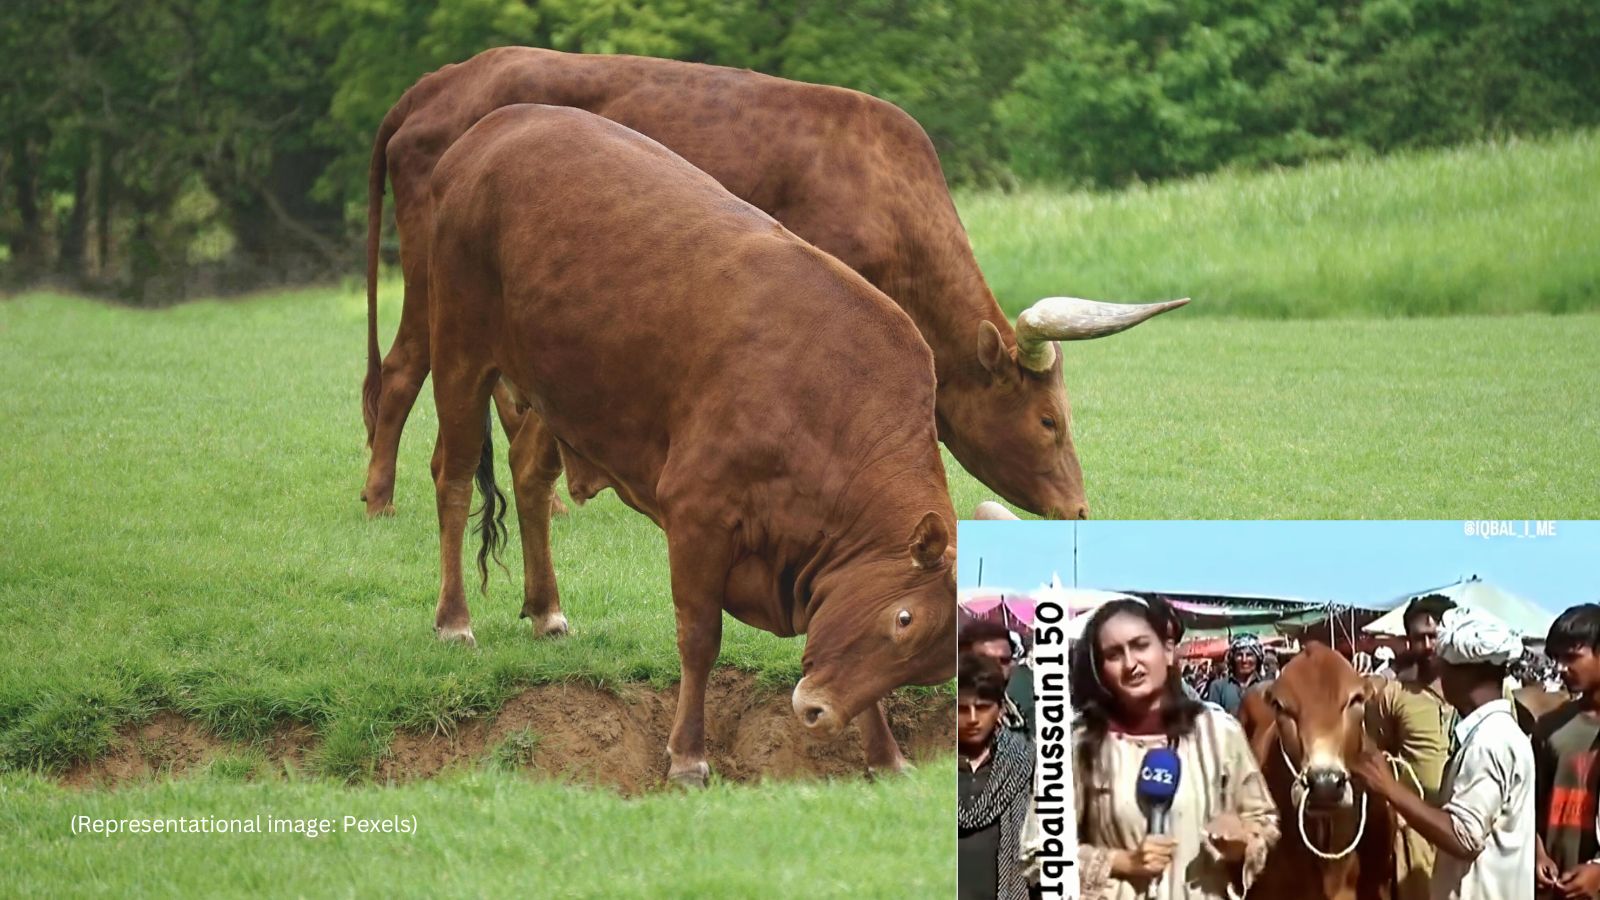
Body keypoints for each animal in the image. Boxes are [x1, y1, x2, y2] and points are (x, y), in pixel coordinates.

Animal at [360, 47, 1187, 523]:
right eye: (1050, 422)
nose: (1078, 509)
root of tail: (437, 85)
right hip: (436, 275)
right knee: (401, 373)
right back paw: (379, 498)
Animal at [422, 103, 958, 786]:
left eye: (933, 663)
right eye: (903, 618)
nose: (817, 712)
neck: (825, 395)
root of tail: (499, 123)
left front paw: (886, 755)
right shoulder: (697, 513)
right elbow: (700, 638)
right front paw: (687, 755)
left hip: (552, 385)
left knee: (528, 476)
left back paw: (546, 609)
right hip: (459, 347)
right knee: (454, 478)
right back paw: (454, 621)